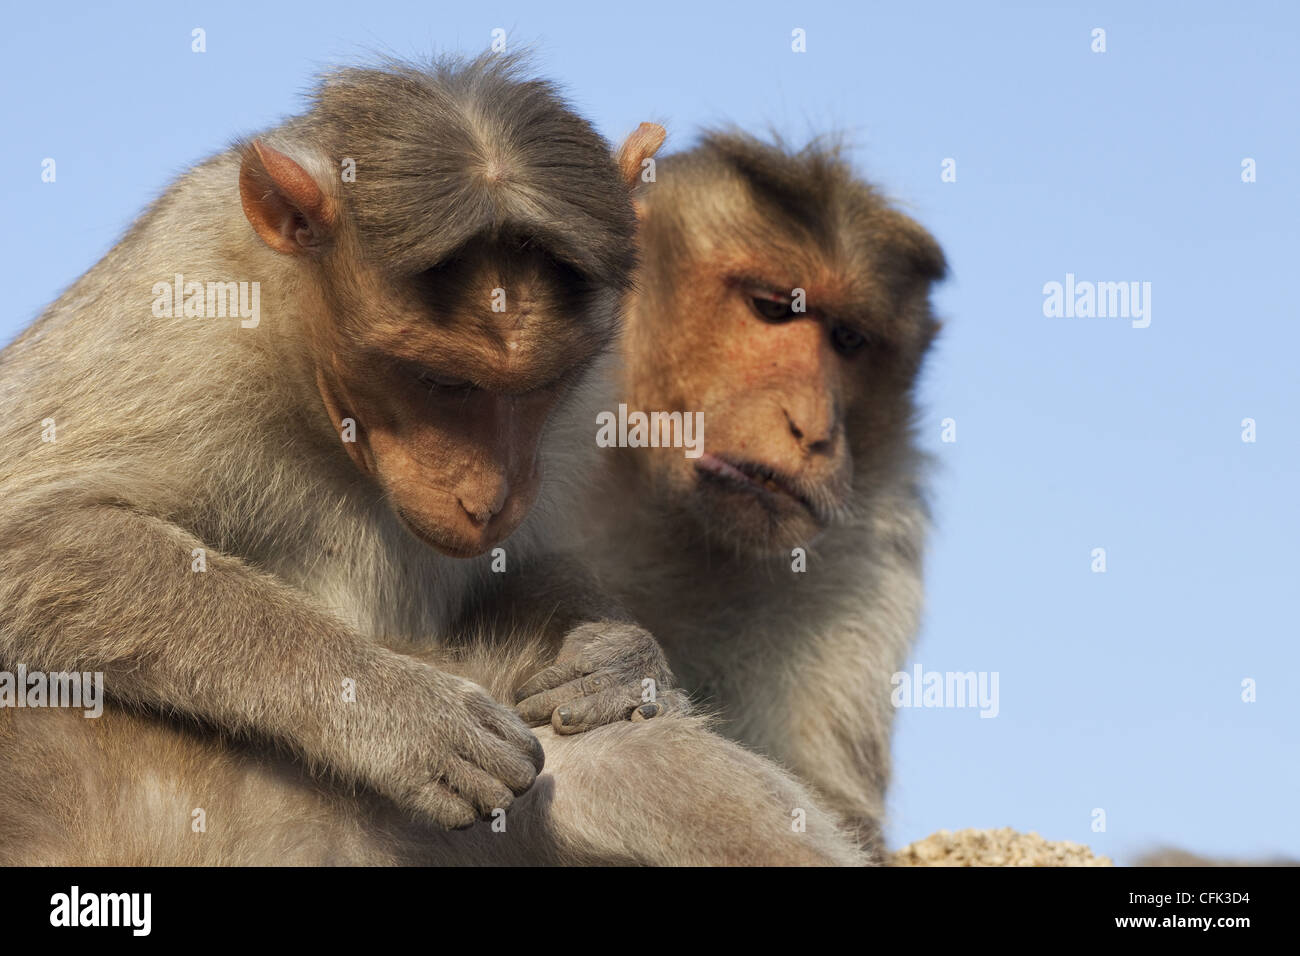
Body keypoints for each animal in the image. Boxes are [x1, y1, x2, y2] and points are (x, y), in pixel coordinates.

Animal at [0, 58, 864, 866]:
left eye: (542, 384)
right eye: (438, 382)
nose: (487, 498)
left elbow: (531, 579)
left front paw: (621, 654)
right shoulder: (181, 307)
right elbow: (33, 534)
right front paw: (402, 715)